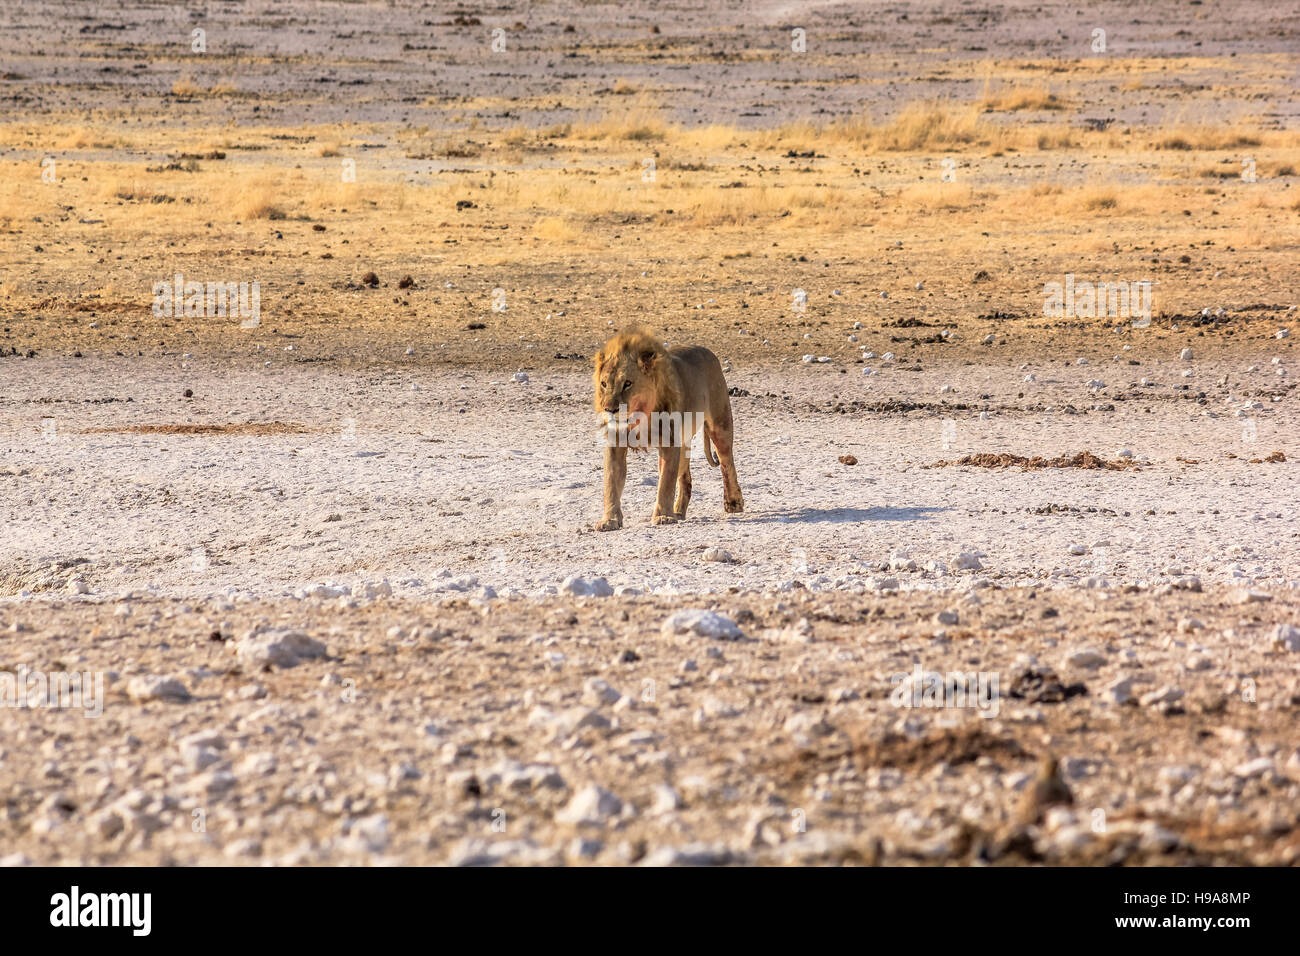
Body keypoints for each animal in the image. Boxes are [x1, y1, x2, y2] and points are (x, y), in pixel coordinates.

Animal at [591, 326, 743, 531]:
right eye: (604, 384)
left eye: (627, 384)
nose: (609, 409)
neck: (639, 416)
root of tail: (707, 351)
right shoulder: (615, 444)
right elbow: (611, 483)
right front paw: (610, 520)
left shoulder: (670, 443)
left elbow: (665, 482)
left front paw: (663, 516)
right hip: (685, 441)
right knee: (686, 479)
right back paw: (678, 511)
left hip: (720, 425)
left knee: (727, 462)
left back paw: (734, 503)